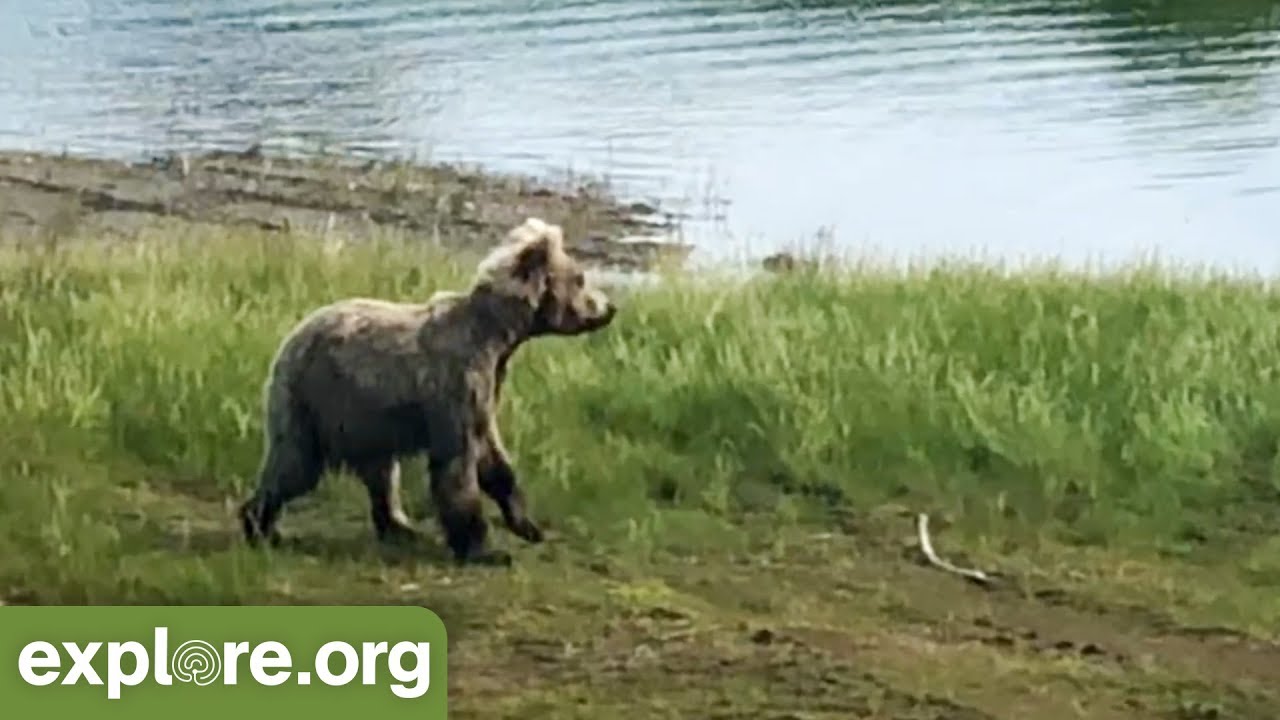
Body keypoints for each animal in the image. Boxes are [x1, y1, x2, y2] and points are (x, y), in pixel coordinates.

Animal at [237, 217, 617, 565]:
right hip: (314, 400)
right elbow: (458, 464)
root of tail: (291, 337)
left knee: (381, 474)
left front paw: (527, 526)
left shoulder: (485, 389)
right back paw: (260, 525)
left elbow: (492, 457)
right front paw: (484, 549)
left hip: (367, 419)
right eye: (580, 279)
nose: (610, 308)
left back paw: (399, 527)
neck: (499, 338)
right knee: (295, 464)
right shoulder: (455, 385)